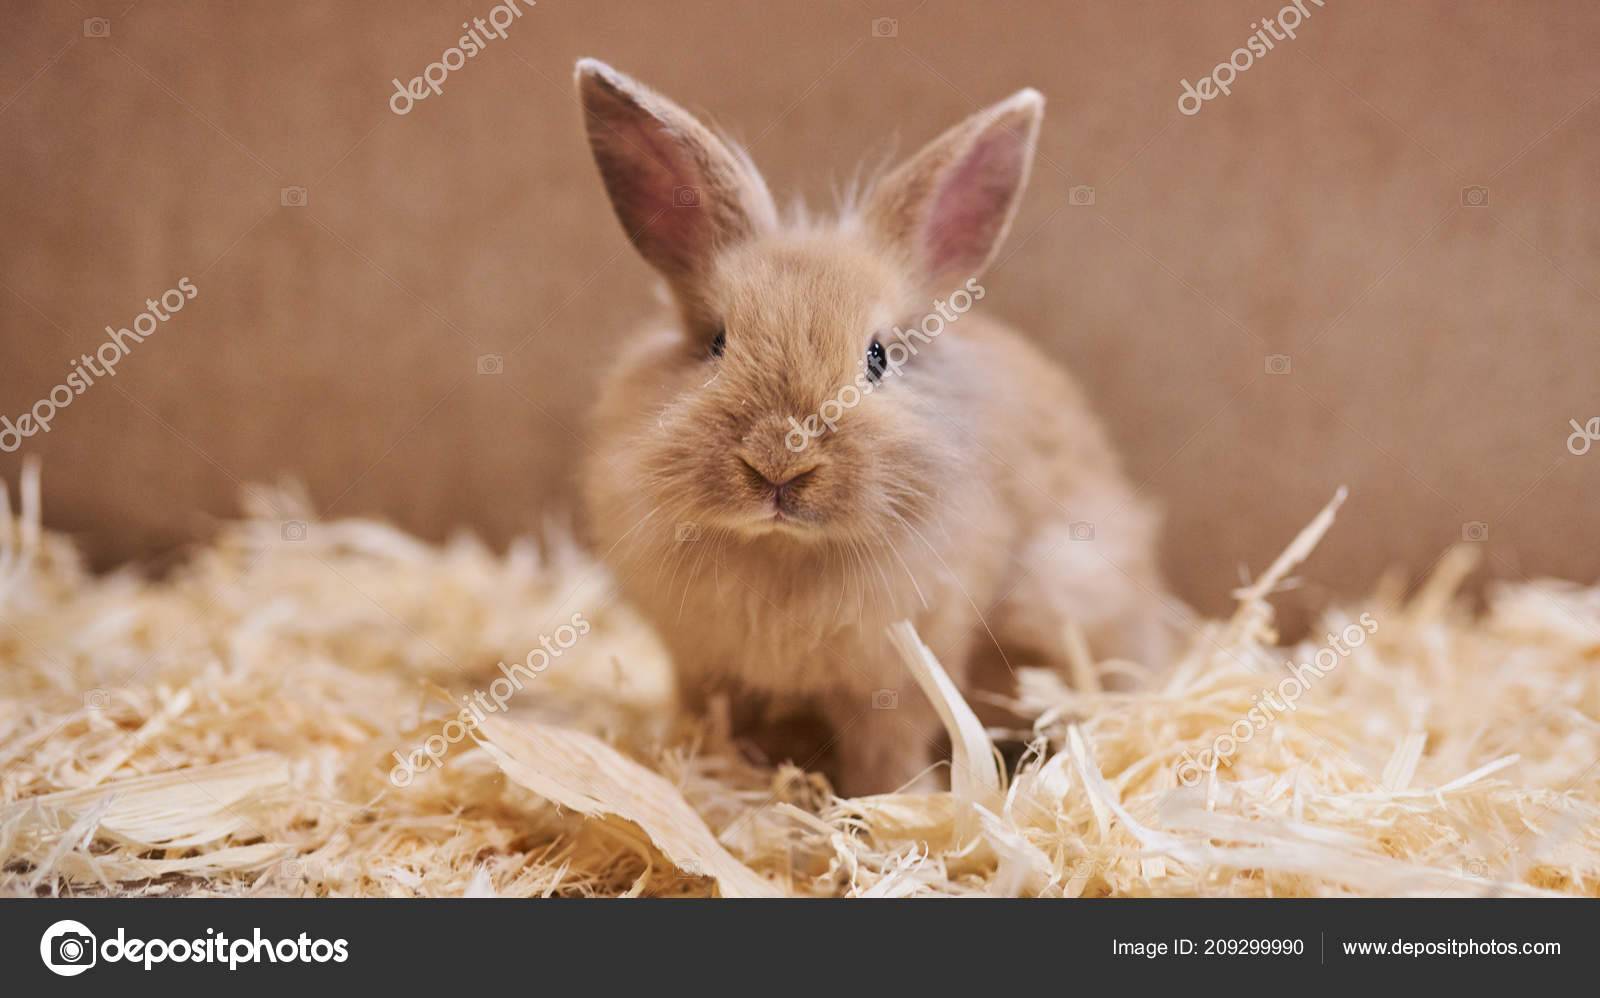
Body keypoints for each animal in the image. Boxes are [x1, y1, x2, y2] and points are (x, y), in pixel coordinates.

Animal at [574, 58, 1176, 796]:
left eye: (878, 357)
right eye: (715, 343)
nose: (779, 465)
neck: (784, 552)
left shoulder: (896, 679)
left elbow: (886, 751)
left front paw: (895, 803)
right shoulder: (703, 668)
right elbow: (710, 722)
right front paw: (706, 774)